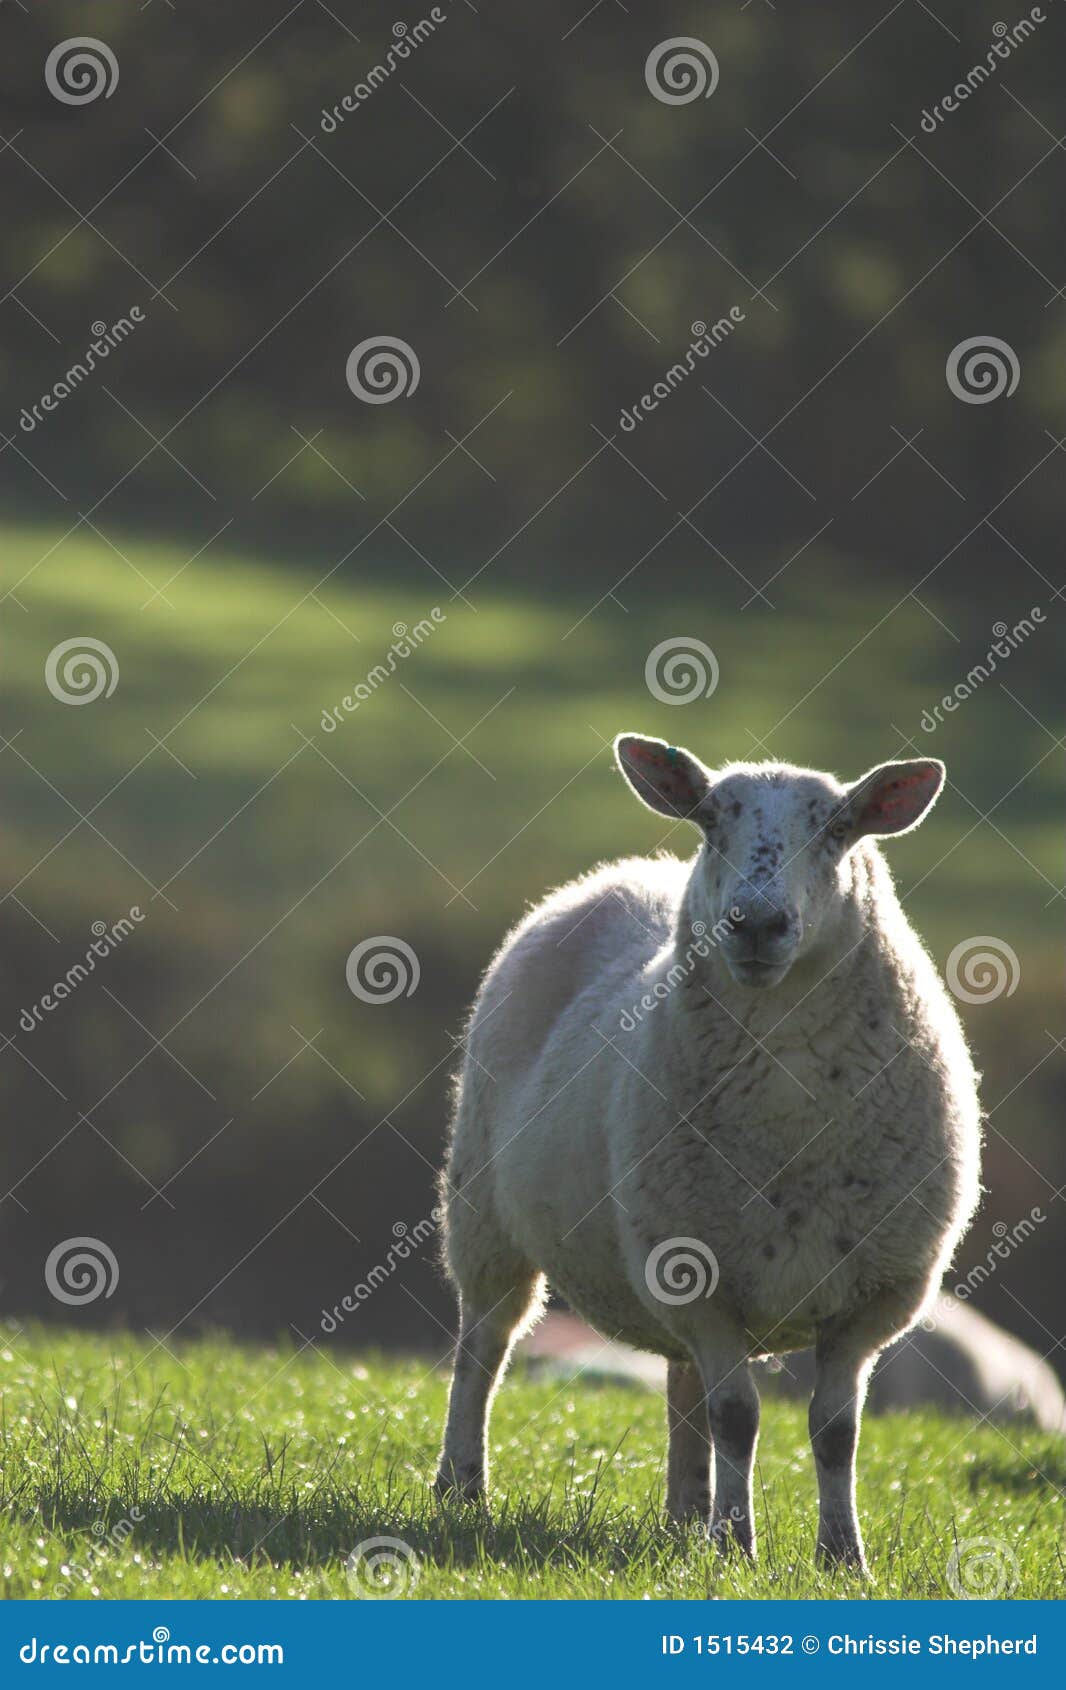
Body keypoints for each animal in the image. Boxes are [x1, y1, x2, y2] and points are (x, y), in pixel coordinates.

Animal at [435, 734, 982, 1573]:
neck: (789, 1101)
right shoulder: (707, 1285)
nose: (755, 924)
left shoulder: (870, 1297)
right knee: (482, 1351)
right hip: (485, 1214)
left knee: (680, 1390)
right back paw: (464, 1489)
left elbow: (834, 1431)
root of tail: (628, 870)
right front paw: (738, 1549)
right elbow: (737, 1418)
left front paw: (839, 1556)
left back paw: (683, 1520)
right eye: (711, 820)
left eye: (840, 829)